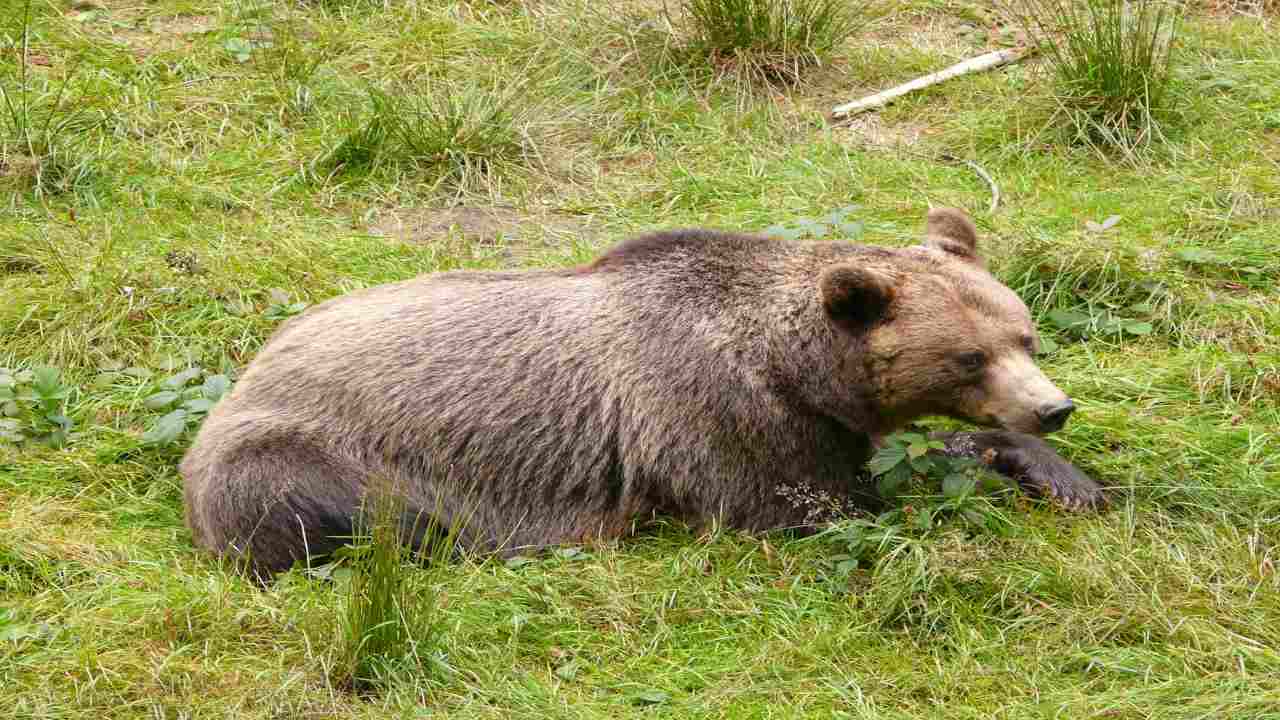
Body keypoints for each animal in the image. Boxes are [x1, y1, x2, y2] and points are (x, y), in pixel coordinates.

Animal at [180, 207, 1105, 578]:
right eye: (967, 358)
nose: (1051, 405)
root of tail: (251, 367)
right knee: (358, 517)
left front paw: (1065, 477)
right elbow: (815, 507)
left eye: (1023, 335)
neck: (792, 366)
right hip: (306, 450)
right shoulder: (716, 412)